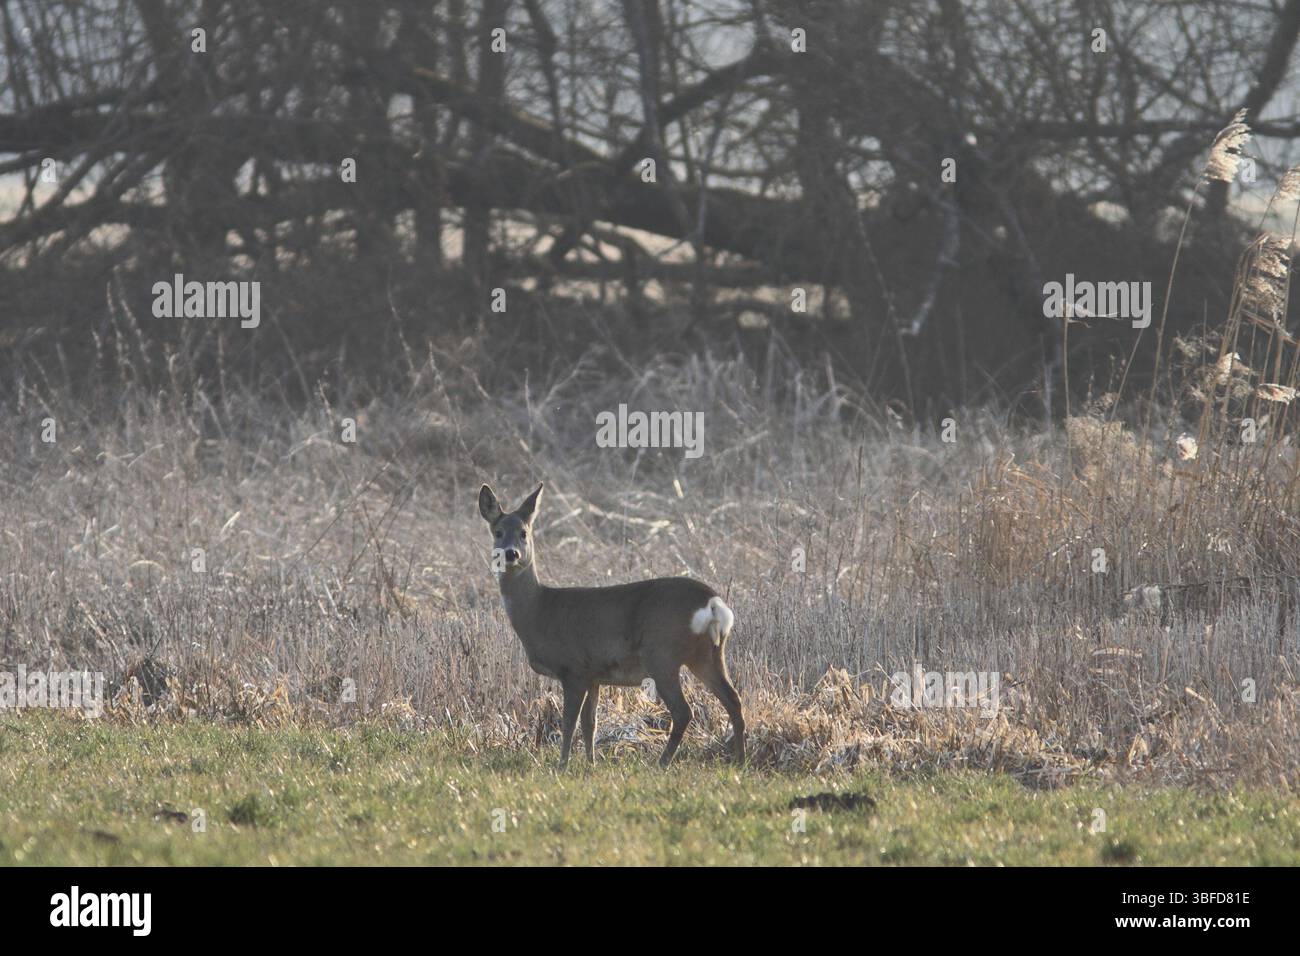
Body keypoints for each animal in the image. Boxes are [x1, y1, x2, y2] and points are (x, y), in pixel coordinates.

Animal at [479, 482, 744, 768]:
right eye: (498, 532)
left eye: (524, 532)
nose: (510, 553)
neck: (539, 611)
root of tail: (713, 603)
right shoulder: (593, 674)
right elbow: (590, 723)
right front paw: (591, 763)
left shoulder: (573, 668)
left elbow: (569, 723)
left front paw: (562, 766)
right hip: (708, 653)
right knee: (733, 699)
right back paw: (740, 760)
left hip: (662, 653)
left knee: (684, 711)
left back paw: (662, 763)